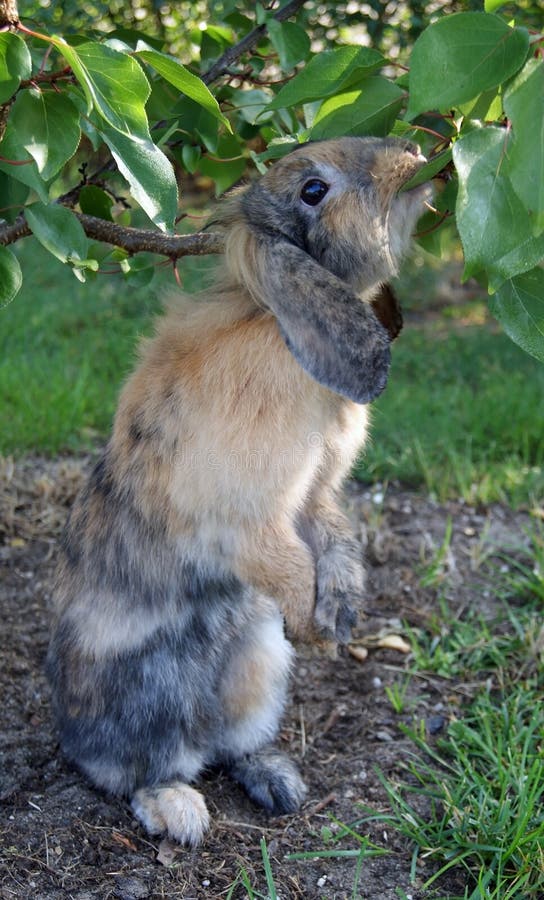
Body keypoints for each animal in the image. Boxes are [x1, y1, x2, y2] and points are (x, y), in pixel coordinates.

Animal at [47, 136, 432, 846]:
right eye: (313, 189)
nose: (415, 153)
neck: (277, 326)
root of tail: (72, 737)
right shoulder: (246, 520)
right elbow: (288, 562)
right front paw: (316, 628)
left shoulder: (316, 495)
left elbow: (332, 538)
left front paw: (338, 616)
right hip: (155, 698)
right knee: (141, 769)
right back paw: (179, 810)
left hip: (258, 667)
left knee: (230, 745)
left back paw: (278, 781)